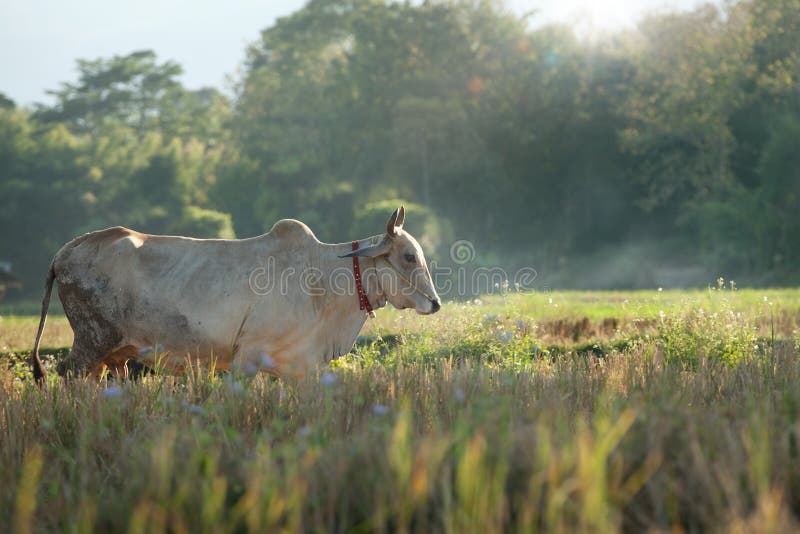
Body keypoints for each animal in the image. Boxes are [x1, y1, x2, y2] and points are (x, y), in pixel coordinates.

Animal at [30, 206, 441, 381]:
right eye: (408, 256)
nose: (435, 303)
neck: (322, 280)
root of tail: (66, 250)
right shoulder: (247, 359)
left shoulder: (300, 366)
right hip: (90, 342)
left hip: (108, 355)